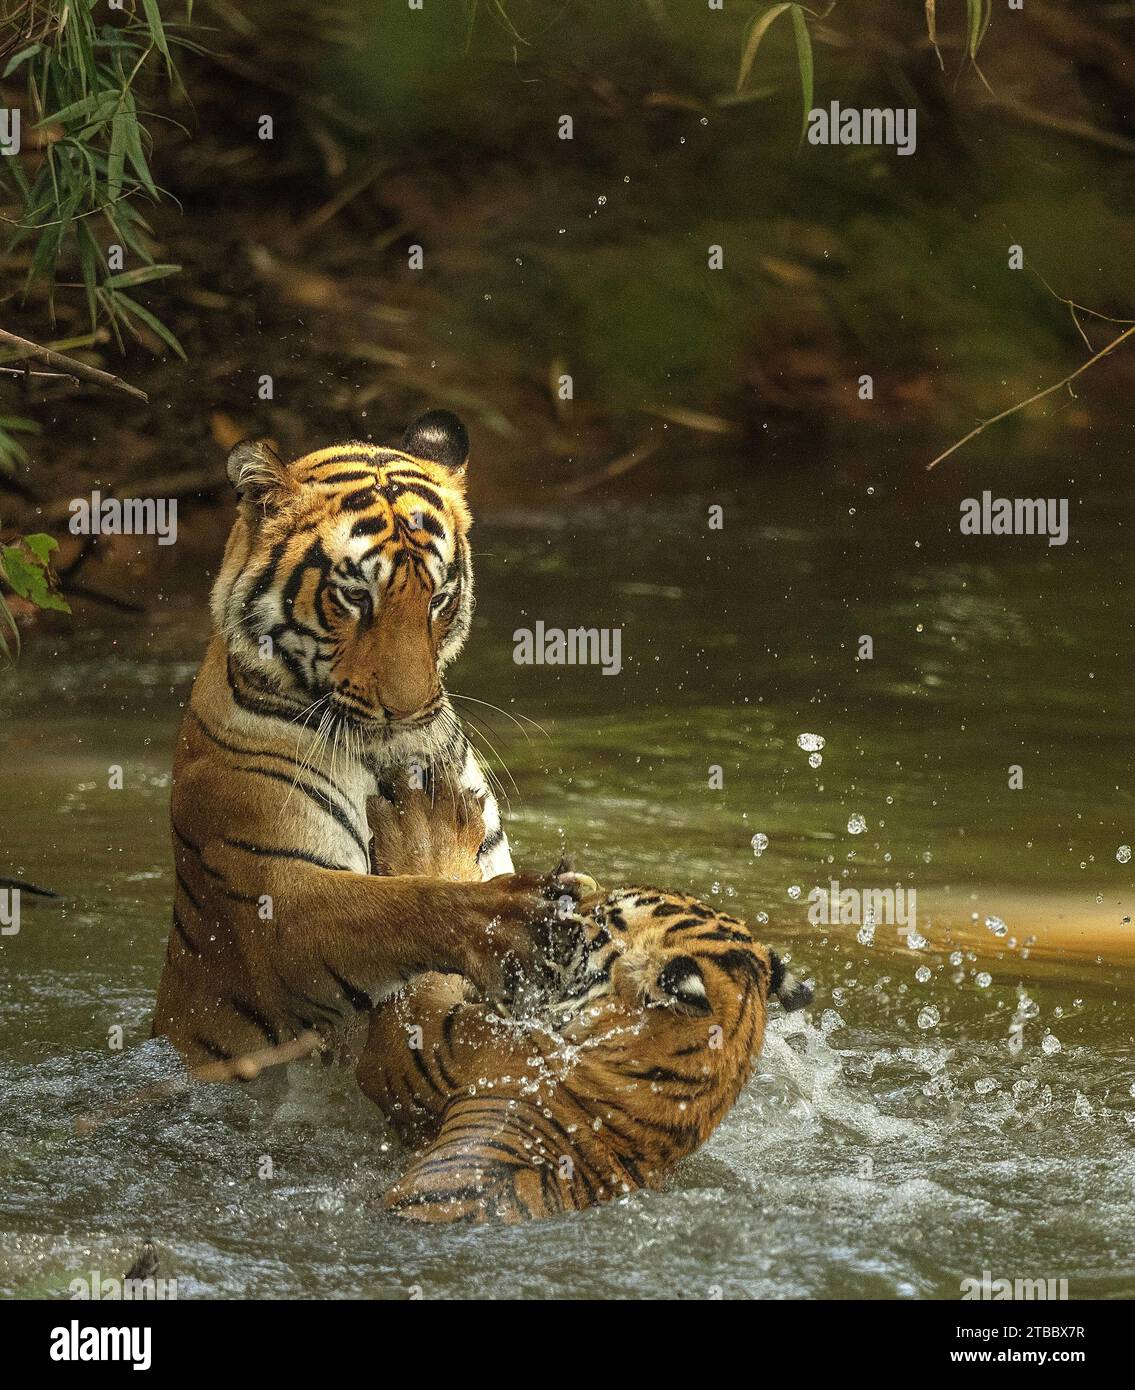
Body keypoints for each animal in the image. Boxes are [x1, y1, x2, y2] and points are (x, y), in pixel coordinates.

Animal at [152, 410, 589, 1067]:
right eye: (356, 595)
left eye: (438, 598)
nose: (408, 712)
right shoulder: (277, 904)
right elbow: (403, 903)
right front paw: (518, 919)